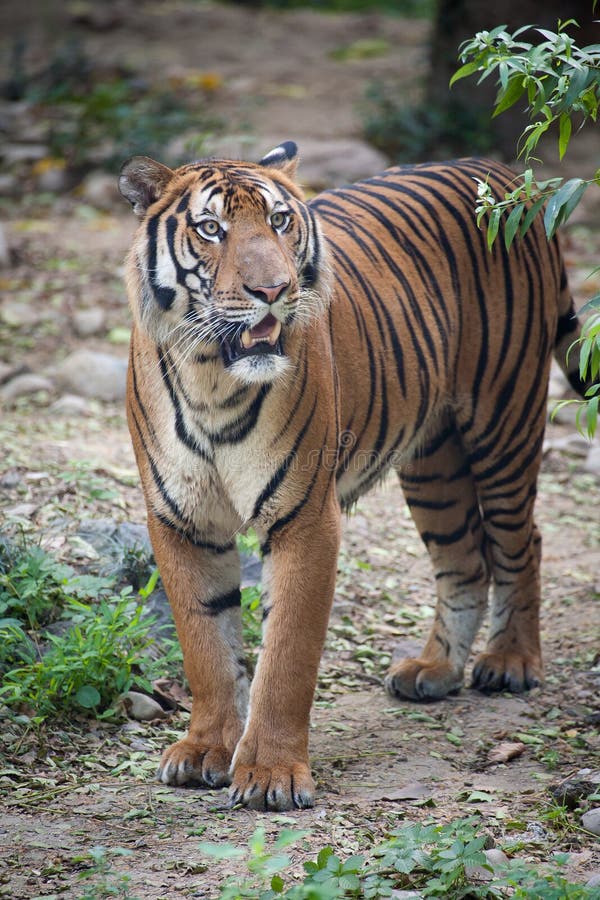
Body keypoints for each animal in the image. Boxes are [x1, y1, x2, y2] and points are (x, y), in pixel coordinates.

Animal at [119, 141, 588, 811]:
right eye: (211, 230)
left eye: (279, 222)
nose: (273, 289)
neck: (213, 376)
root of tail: (502, 172)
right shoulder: (180, 520)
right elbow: (205, 645)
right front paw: (206, 748)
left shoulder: (304, 518)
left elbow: (286, 654)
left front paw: (269, 773)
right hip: (433, 462)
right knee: (465, 558)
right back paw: (435, 671)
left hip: (504, 421)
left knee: (522, 541)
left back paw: (511, 660)